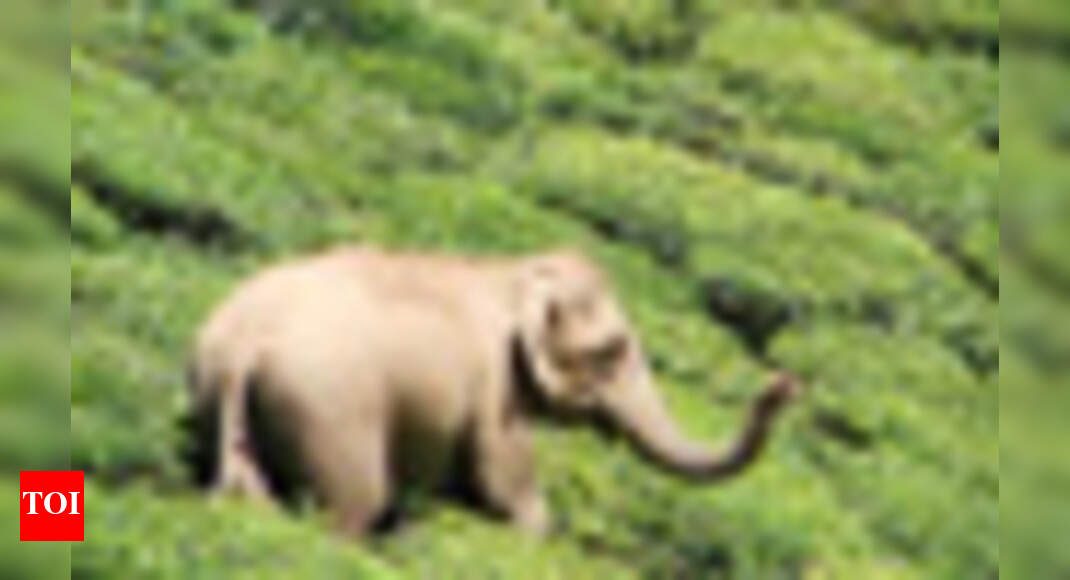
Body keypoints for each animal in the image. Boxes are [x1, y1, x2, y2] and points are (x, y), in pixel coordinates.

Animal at [187, 245, 798, 536]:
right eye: (612, 350)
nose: (784, 384)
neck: (511, 273)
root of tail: (242, 349)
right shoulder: (496, 394)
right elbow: (510, 493)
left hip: (221, 400)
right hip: (332, 417)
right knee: (353, 506)